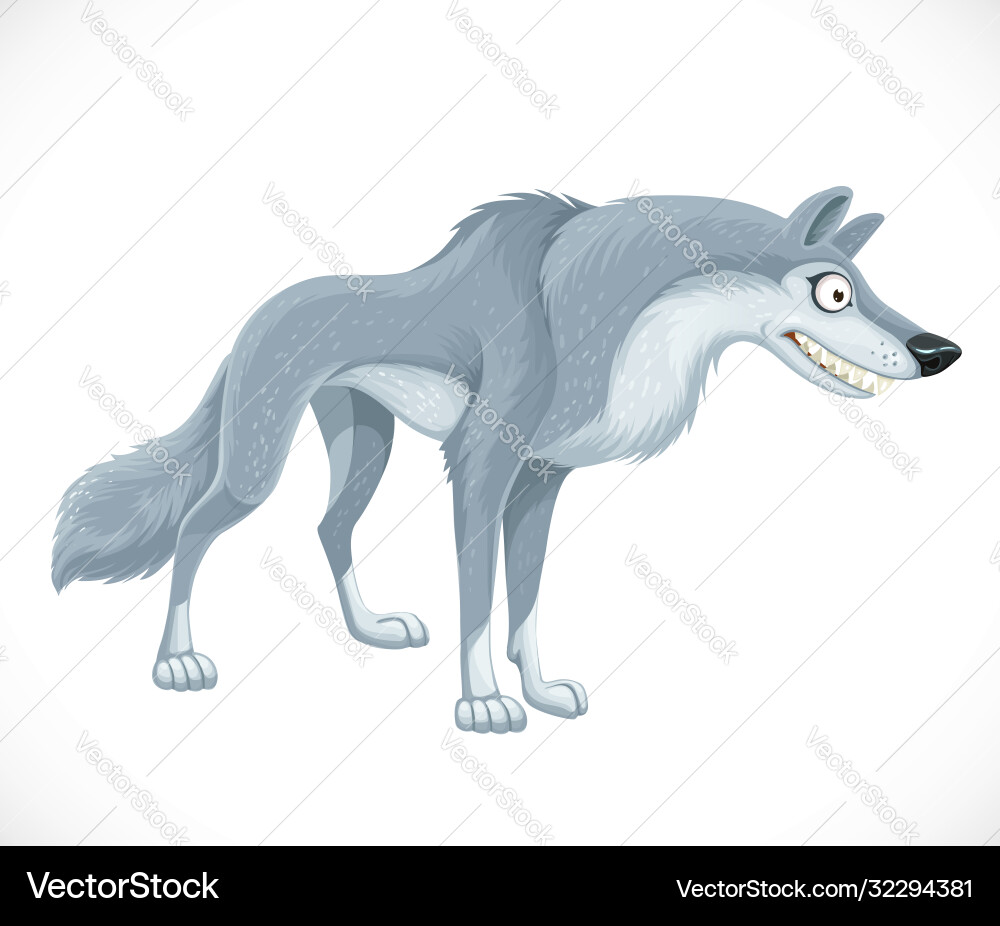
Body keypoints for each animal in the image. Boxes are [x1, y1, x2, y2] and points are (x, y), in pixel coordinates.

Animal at [52, 186, 961, 734]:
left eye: (868, 285)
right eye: (833, 292)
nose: (939, 351)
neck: (602, 311)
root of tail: (254, 318)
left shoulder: (541, 481)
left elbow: (525, 597)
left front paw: (540, 691)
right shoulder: (482, 470)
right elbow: (479, 601)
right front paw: (483, 704)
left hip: (366, 445)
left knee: (330, 526)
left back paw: (370, 628)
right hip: (256, 466)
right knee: (196, 530)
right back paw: (176, 661)